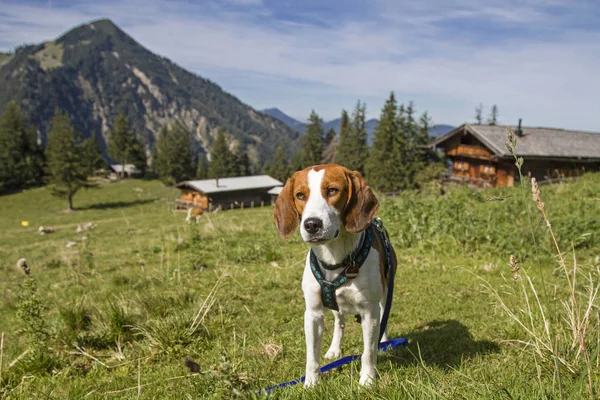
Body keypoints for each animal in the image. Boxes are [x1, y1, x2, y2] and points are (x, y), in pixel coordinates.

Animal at [274, 163, 396, 388]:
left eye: (332, 191)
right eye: (300, 195)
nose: (312, 224)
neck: (334, 258)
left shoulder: (369, 312)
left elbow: (368, 352)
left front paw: (367, 379)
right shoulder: (312, 313)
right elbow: (312, 356)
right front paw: (311, 383)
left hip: (384, 294)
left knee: (384, 317)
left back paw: (385, 342)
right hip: (335, 307)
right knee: (340, 323)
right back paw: (334, 350)